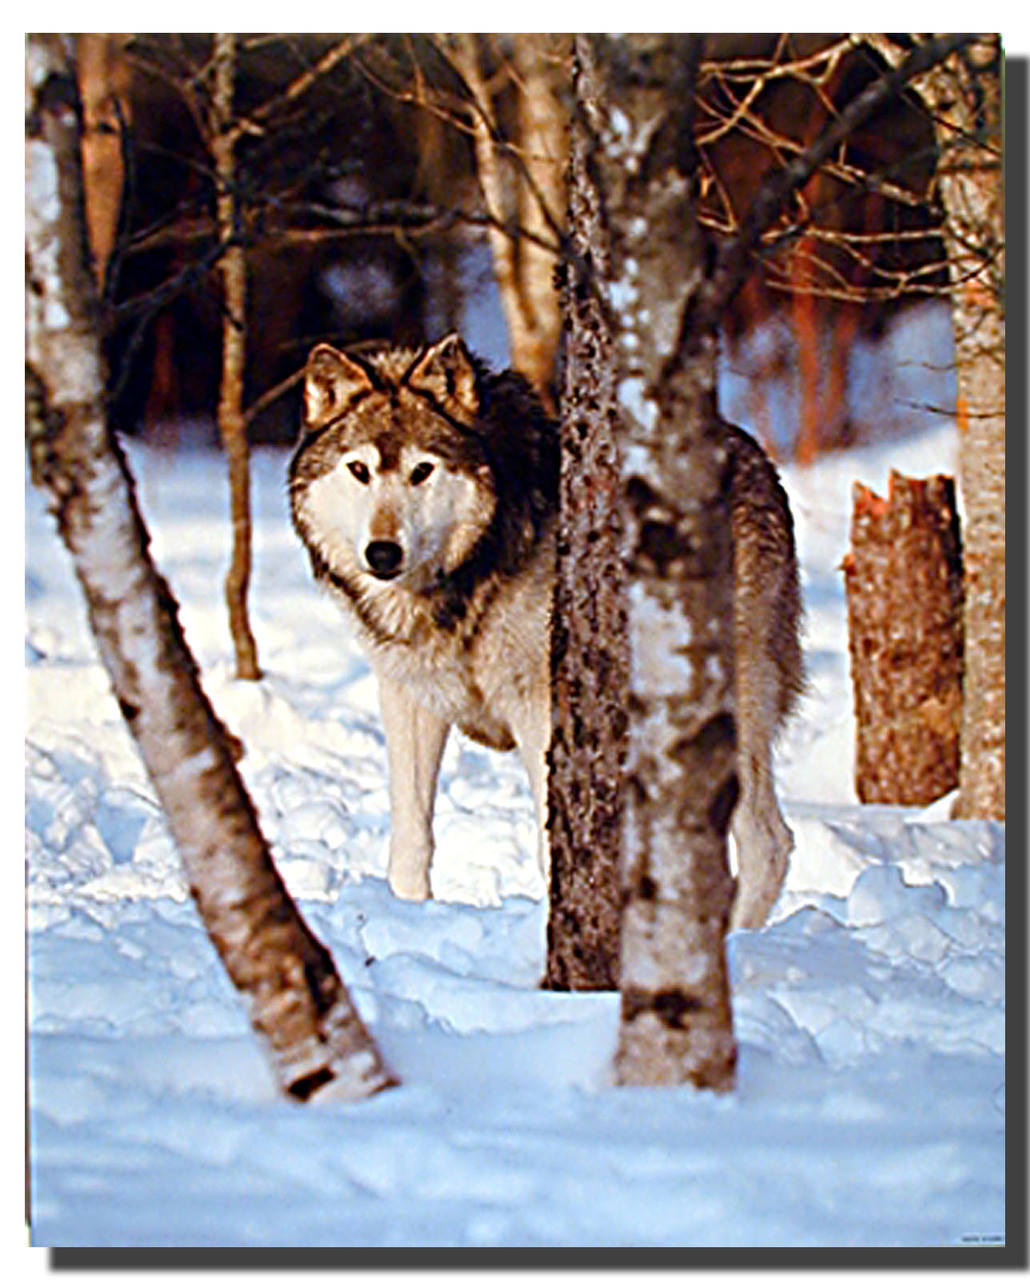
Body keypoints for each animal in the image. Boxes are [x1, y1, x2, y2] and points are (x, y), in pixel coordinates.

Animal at [289, 333, 803, 930]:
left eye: (422, 471)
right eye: (359, 470)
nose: (383, 553)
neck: (460, 583)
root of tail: (759, 459)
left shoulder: (540, 707)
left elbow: (548, 847)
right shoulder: (409, 699)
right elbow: (411, 836)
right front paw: (407, 915)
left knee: (768, 842)